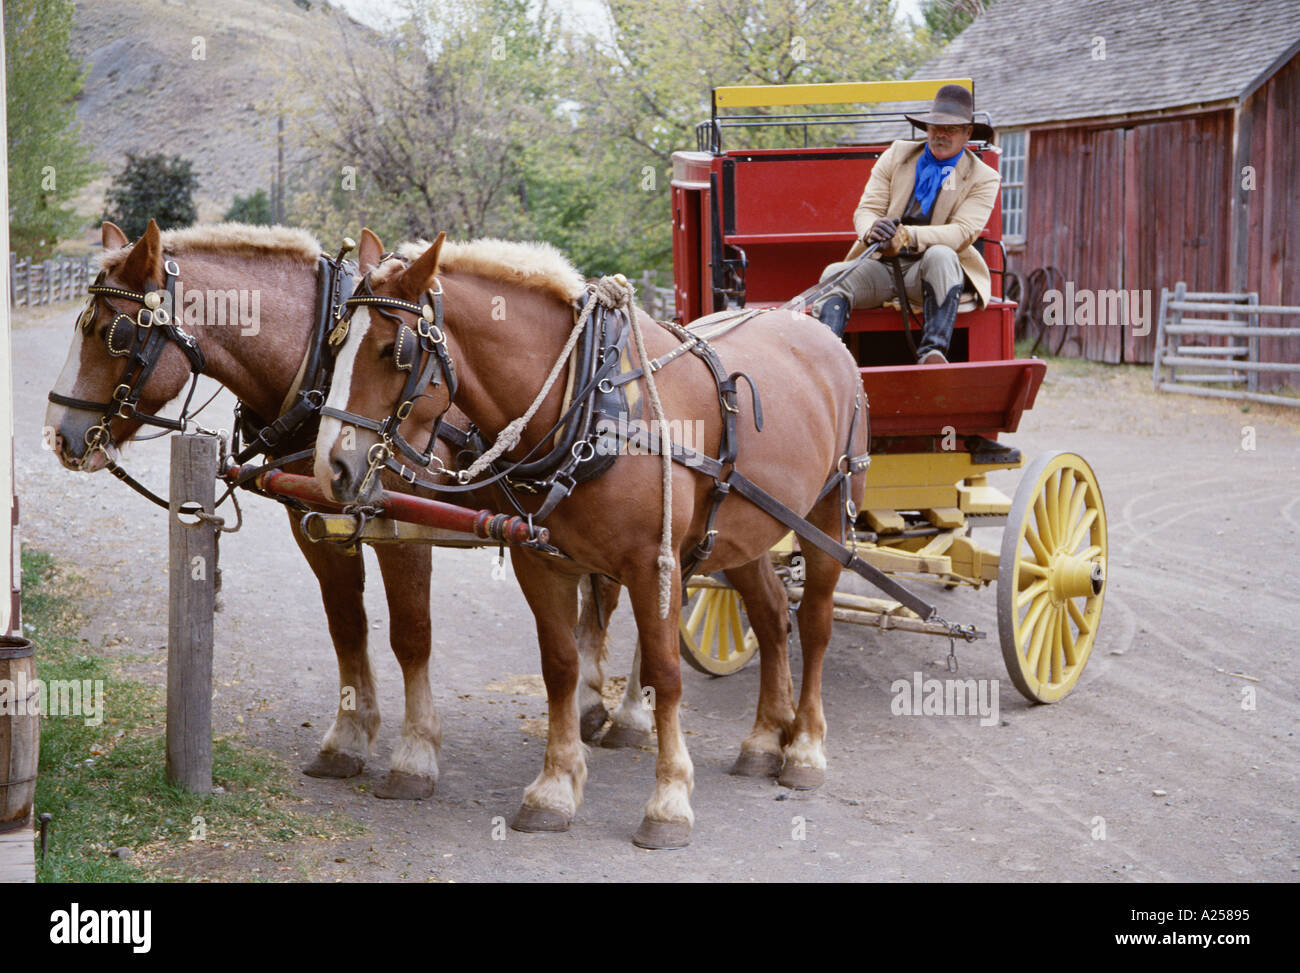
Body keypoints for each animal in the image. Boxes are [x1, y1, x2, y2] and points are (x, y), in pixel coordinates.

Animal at [44, 218, 649, 802]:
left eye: (114, 333)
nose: (59, 434)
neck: (322, 370)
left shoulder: (405, 527)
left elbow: (411, 635)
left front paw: (415, 757)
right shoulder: (313, 525)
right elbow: (346, 625)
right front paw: (348, 738)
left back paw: (631, 715)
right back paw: (595, 705)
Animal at [317, 228, 869, 847]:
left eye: (393, 352)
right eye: (333, 345)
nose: (332, 467)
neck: (588, 402)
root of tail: (816, 328)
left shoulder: (654, 563)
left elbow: (665, 674)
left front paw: (669, 800)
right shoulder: (541, 559)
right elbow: (561, 666)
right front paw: (555, 787)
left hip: (828, 518)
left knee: (815, 623)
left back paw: (805, 748)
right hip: (740, 534)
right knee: (773, 617)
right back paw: (764, 740)